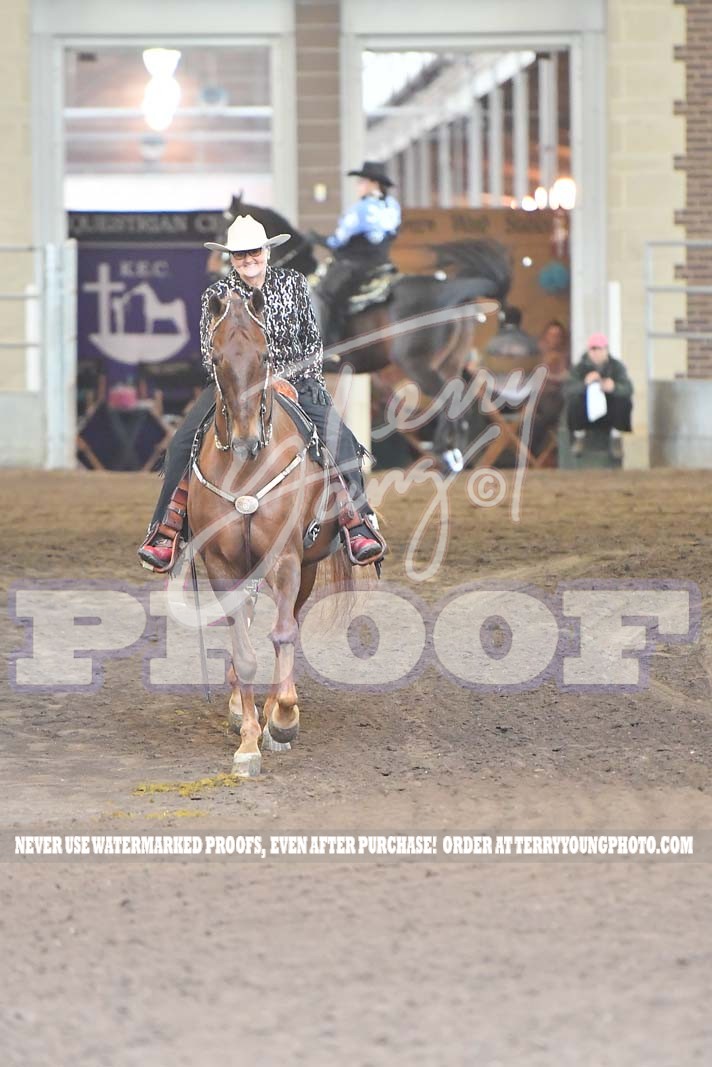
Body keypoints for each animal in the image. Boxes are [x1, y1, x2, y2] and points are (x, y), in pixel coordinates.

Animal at [187, 286, 353, 778]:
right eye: (217, 357)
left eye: (264, 356)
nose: (245, 440)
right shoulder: (220, 565)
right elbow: (243, 650)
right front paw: (247, 742)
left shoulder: (287, 559)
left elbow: (282, 634)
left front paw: (281, 720)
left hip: (307, 567)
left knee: (289, 622)